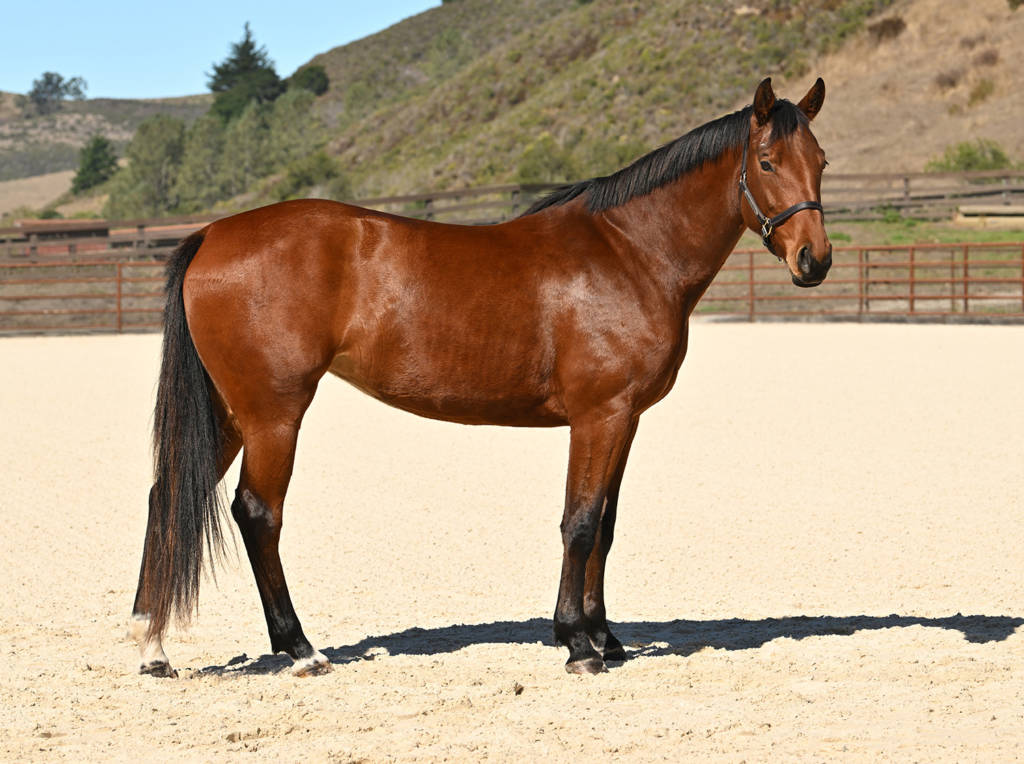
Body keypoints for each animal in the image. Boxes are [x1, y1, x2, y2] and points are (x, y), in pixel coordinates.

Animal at [131, 77, 831, 677]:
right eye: (766, 161)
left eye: (821, 160)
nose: (814, 260)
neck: (629, 251)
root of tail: (212, 234)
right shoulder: (598, 415)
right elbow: (579, 522)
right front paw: (578, 644)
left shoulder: (626, 419)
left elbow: (604, 525)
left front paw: (607, 638)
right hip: (274, 413)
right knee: (257, 513)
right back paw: (300, 649)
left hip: (229, 413)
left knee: (167, 495)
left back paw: (152, 647)